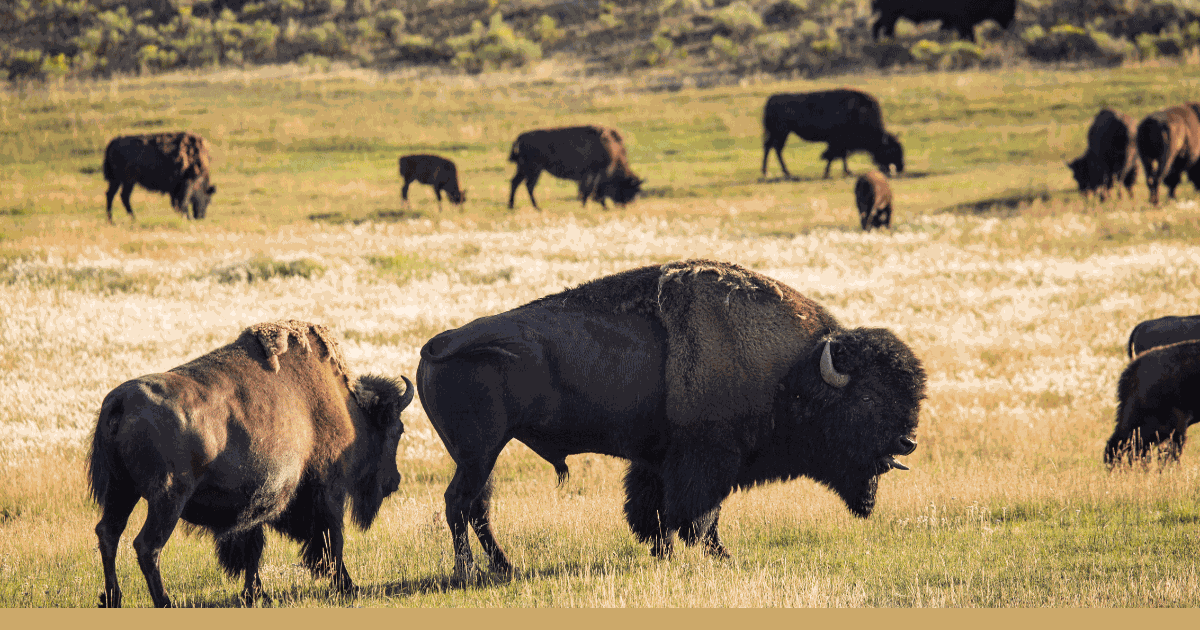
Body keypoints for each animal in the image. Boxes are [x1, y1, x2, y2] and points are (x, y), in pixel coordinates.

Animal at [88, 320, 414, 607]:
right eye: (397, 429)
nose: (394, 481)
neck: (347, 409)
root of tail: (121, 401)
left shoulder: (252, 506)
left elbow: (252, 549)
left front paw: (256, 594)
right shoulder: (328, 491)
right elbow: (332, 541)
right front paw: (348, 587)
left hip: (121, 492)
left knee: (108, 533)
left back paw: (112, 599)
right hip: (166, 500)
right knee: (147, 546)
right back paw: (164, 603)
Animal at [418, 259, 926, 578]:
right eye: (868, 399)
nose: (907, 442)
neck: (792, 369)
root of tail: (438, 343)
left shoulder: (658, 461)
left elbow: (653, 510)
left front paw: (661, 552)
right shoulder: (707, 460)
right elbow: (700, 515)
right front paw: (721, 557)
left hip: (483, 455)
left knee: (478, 507)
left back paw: (504, 566)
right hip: (480, 453)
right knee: (459, 503)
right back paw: (470, 571)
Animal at [507, 125, 643, 210]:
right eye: (630, 188)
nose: (626, 205)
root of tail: (521, 137)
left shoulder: (590, 174)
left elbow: (589, 190)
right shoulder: (595, 173)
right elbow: (591, 190)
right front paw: (591, 205)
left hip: (526, 169)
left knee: (516, 182)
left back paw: (513, 206)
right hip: (533, 169)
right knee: (528, 185)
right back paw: (536, 207)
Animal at [762, 90, 904, 180]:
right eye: (892, 150)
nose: (900, 168)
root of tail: (771, 99)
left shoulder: (840, 143)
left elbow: (840, 156)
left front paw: (846, 171)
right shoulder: (837, 141)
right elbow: (834, 155)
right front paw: (831, 173)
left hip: (780, 133)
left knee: (771, 147)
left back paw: (773, 172)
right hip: (781, 132)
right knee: (775, 148)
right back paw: (780, 172)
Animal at [870, 0, 1017, 42]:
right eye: (1007, 2)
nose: (1011, 20)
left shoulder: (954, 22)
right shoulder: (962, 21)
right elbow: (968, 34)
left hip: (892, 15)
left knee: (881, 27)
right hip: (890, 15)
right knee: (880, 27)